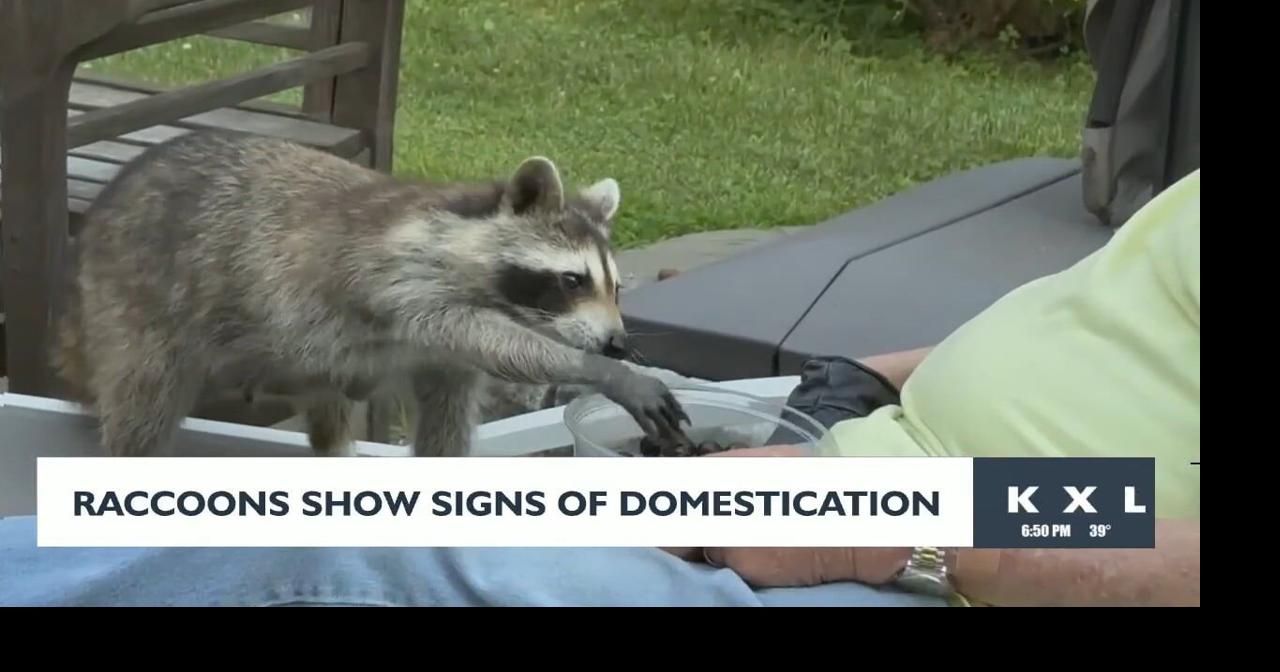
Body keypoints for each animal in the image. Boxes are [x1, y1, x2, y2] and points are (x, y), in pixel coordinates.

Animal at [53, 129, 689, 457]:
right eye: (571, 281)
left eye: (616, 287)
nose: (614, 344)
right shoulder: (397, 280)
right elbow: (484, 336)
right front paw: (600, 371)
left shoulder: (447, 365)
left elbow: (448, 424)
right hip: (134, 301)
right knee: (143, 404)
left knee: (330, 411)